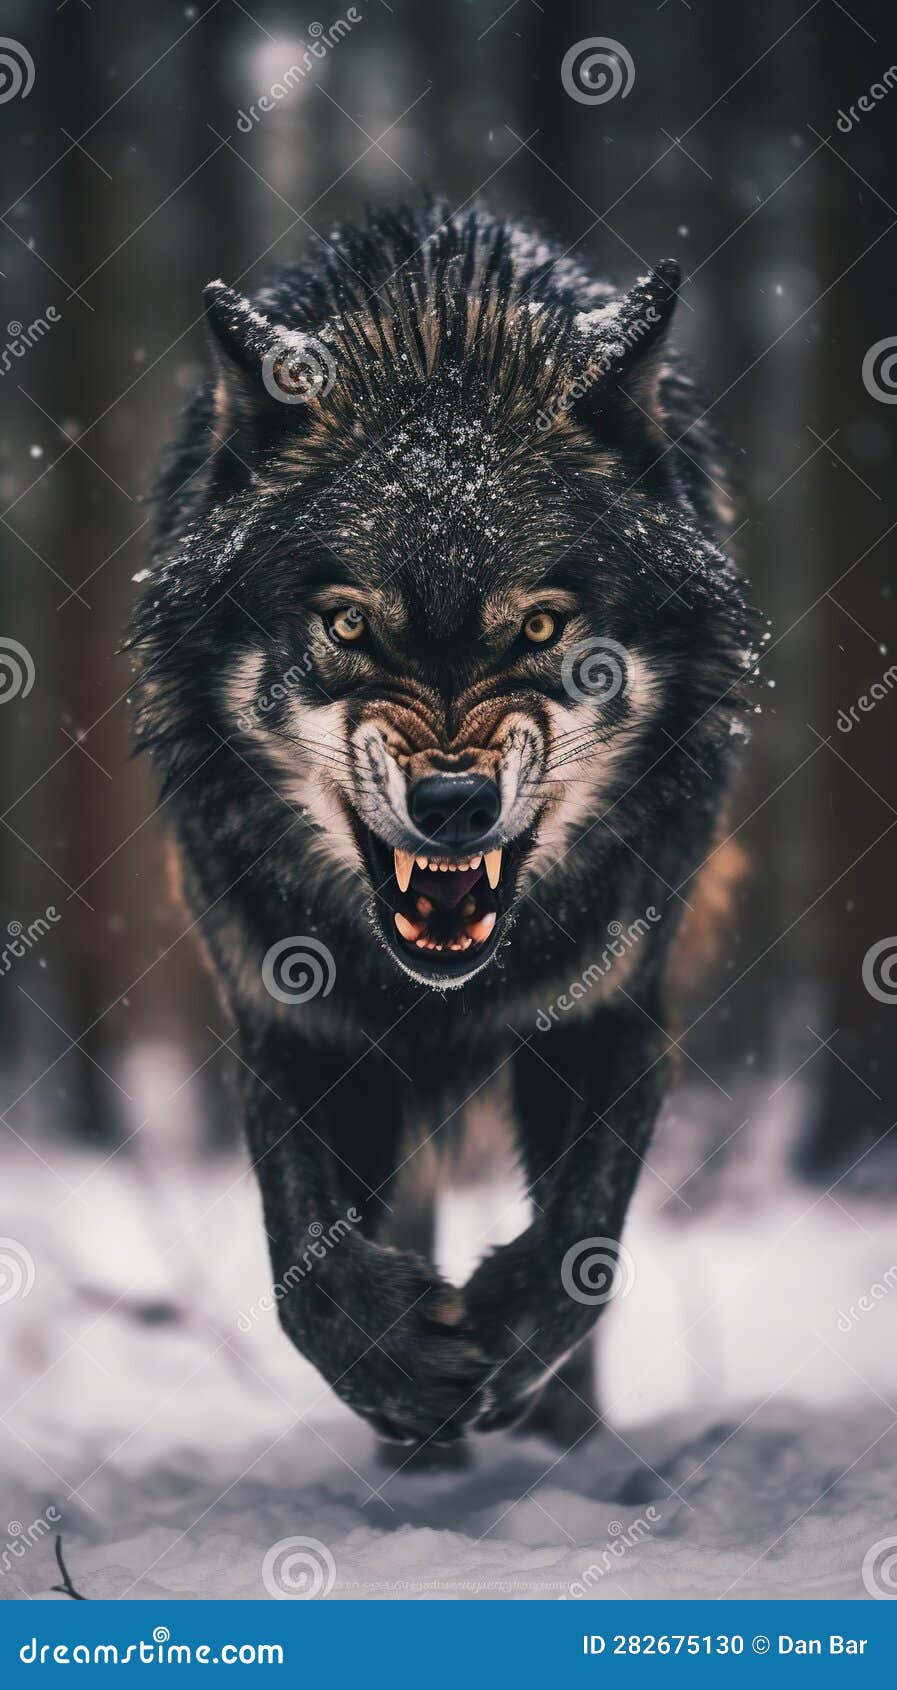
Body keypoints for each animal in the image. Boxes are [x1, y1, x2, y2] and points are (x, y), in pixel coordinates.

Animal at [129, 199, 757, 1449]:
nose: (455, 803)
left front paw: (508, 1344)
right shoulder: (290, 1020)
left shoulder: (612, 1010)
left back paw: (565, 1427)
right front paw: (393, 1372)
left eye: (542, 626)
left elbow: (583, 1243)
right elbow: (303, 1260)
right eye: (348, 625)